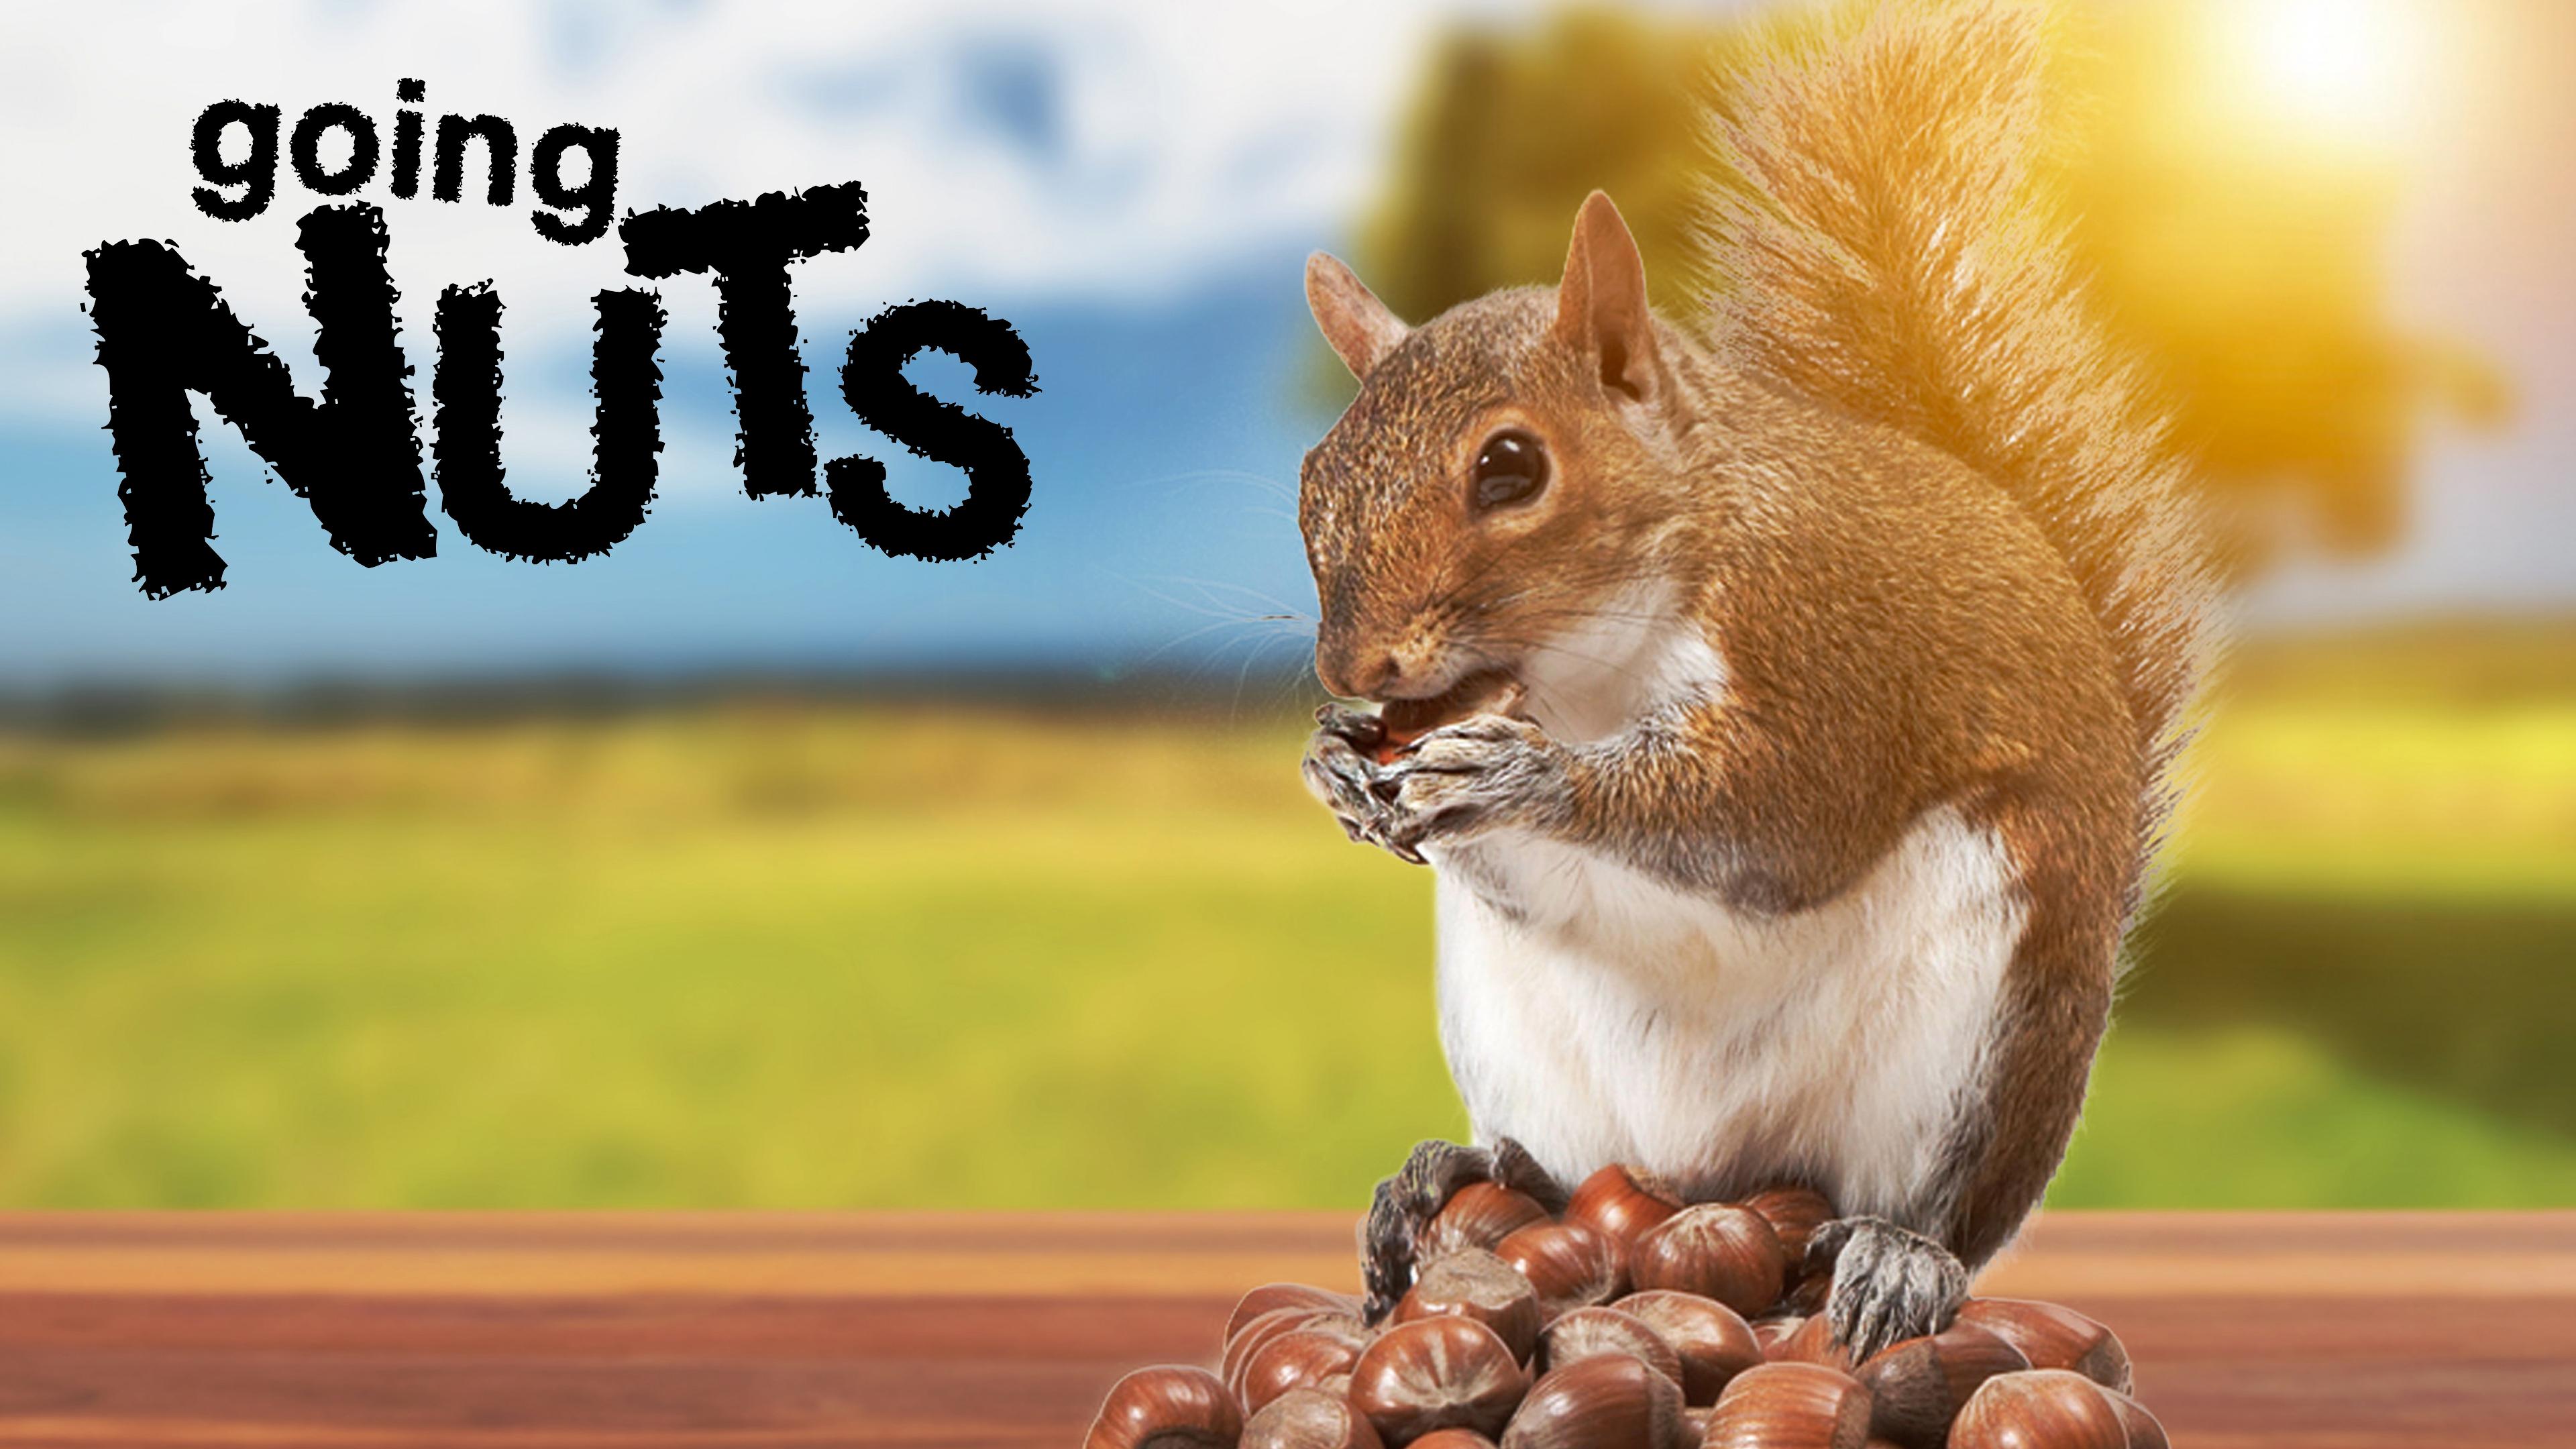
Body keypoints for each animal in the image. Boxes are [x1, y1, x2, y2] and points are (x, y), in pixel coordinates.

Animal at [1294, 0, 2213, 1359]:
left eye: (1512, 466)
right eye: (1315, 477)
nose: (1352, 665)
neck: (1589, 672)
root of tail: (1703, 1176)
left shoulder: (1828, 646)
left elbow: (1779, 819)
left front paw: (1529, 779)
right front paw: (1336, 770)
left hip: (1982, 1035)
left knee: (1936, 1207)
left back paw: (1900, 1259)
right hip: (1524, 1044)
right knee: (1557, 1172)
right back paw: (1457, 1175)